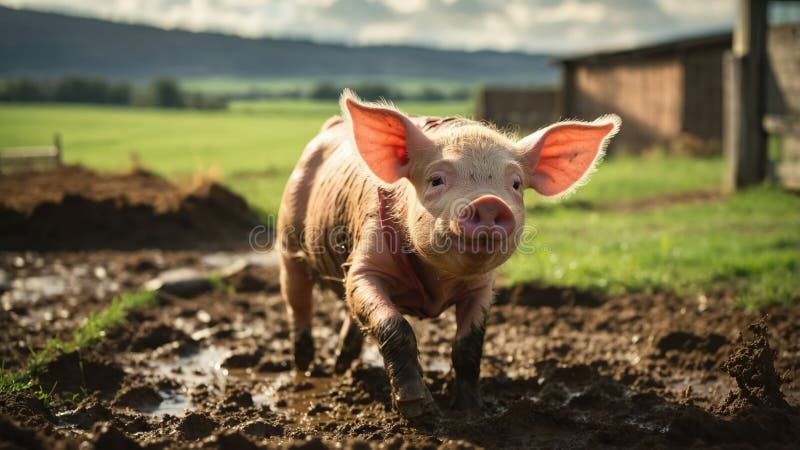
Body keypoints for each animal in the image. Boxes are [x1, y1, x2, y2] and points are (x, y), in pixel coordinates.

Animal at [277, 89, 620, 418]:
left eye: (516, 184)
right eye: (436, 179)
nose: (488, 202)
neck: (436, 283)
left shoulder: (482, 287)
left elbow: (468, 346)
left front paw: (471, 409)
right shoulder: (366, 264)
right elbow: (395, 326)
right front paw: (419, 410)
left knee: (350, 312)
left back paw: (341, 367)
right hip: (288, 244)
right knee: (299, 306)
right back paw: (305, 369)